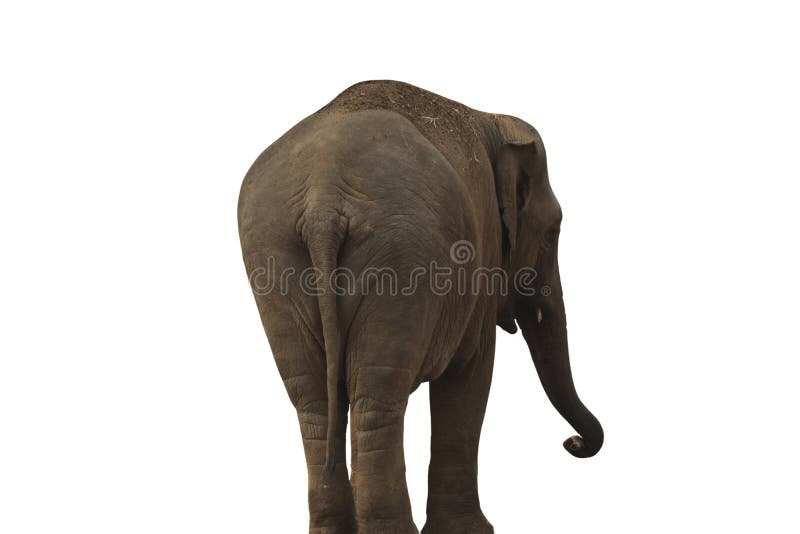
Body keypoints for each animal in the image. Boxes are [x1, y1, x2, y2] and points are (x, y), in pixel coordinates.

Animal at [238, 80, 603, 533]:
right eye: (552, 234)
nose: (573, 442)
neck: (492, 121)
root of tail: (323, 201)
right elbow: (472, 372)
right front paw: (471, 532)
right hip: (401, 256)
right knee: (378, 399)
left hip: (274, 258)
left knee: (316, 401)